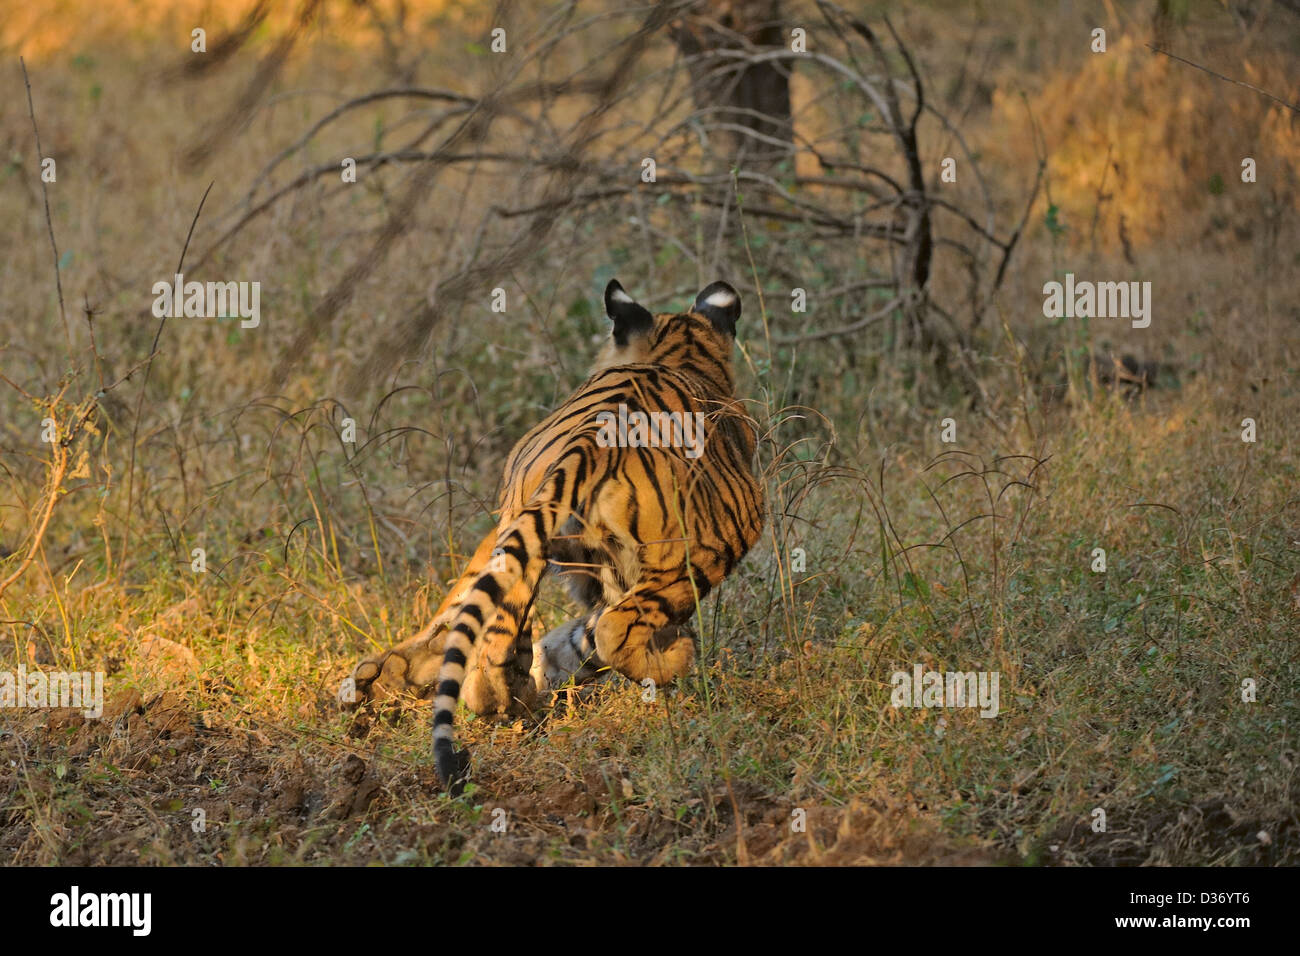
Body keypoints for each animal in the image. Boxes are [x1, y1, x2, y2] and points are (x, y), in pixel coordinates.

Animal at [347, 278, 765, 791]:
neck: (683, 353)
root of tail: (589, 441)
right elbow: (593, 635)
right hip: (703, 549)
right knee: (613, 630)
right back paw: (669, 663)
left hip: (519, 531)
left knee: (489, 634)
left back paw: (473, 690)